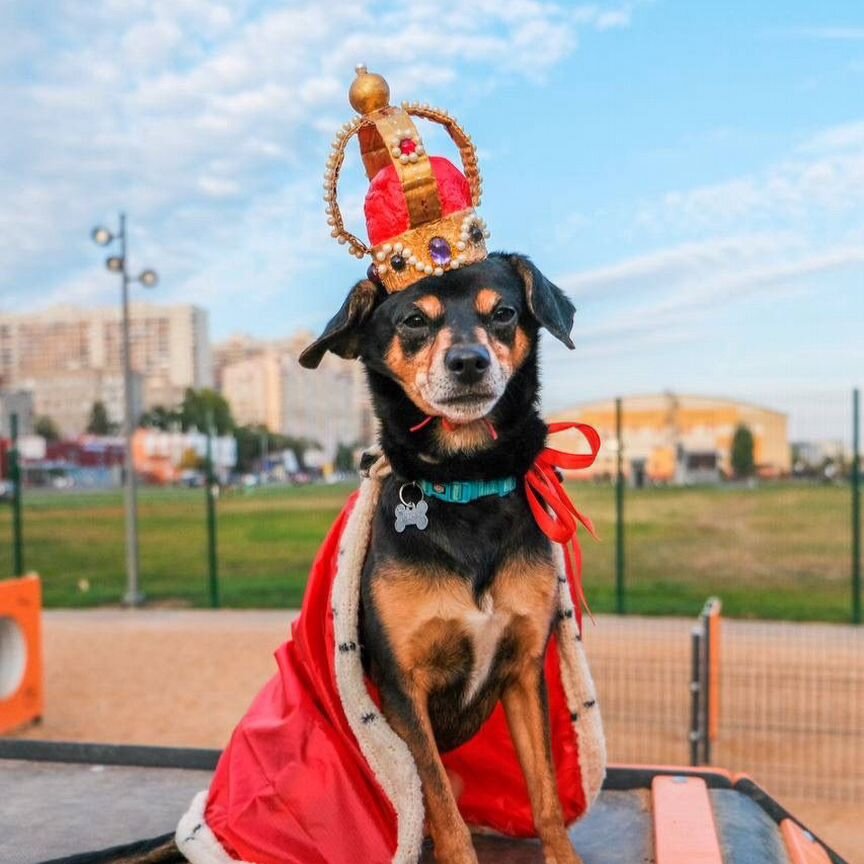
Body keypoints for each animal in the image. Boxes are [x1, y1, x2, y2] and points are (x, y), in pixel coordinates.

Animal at [298, 251, 588, 864]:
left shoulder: (524, 670)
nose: (469, 362)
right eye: (414, 320)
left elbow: (547, 799)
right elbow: (444, 813)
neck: (465, 483)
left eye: (503, 313)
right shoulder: (404, 689)